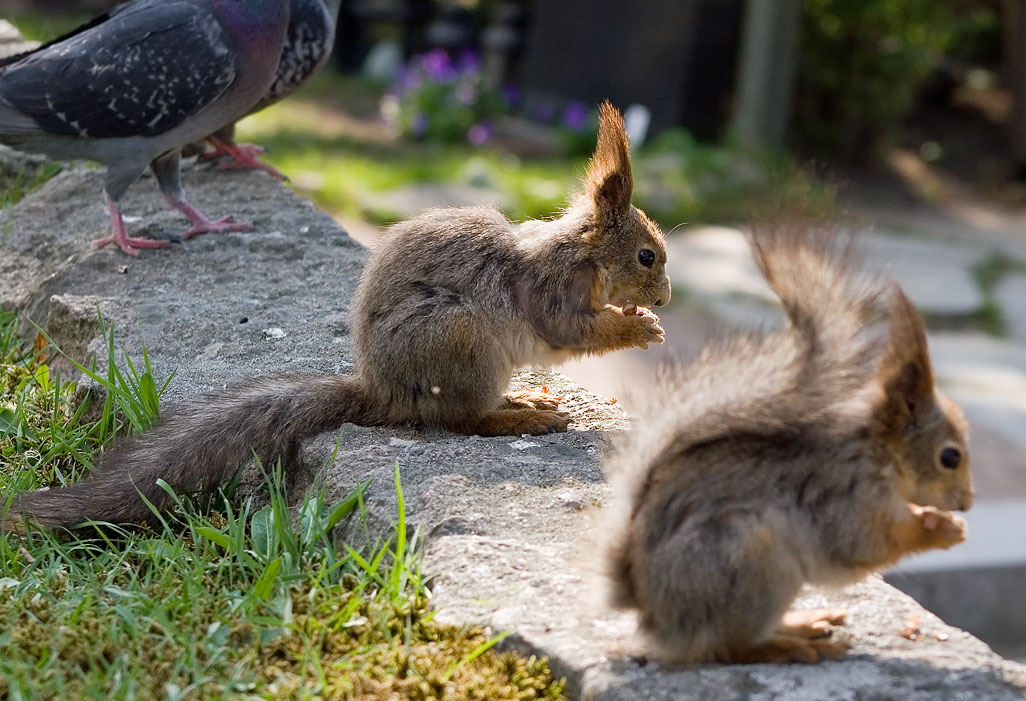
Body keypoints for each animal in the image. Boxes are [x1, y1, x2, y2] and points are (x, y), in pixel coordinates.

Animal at [6, 102, 671, 532]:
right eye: (647, 254)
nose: (665, 296)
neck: (584, 254)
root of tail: (383, 394)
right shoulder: (552, 291)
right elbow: (570, 332)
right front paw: (638, 325)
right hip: (461, 340)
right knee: (460, 420)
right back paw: (521, 415)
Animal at [600, 220, 973, 665]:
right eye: (949, 456)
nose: (967, 502)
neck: (876, 453)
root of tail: (650, 612)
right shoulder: (848, 497)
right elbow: (869, 543)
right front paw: (940, 529)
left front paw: (941, 519)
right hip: (754, 561)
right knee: (729, 646)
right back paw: (794, 645)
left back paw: (804, 624)